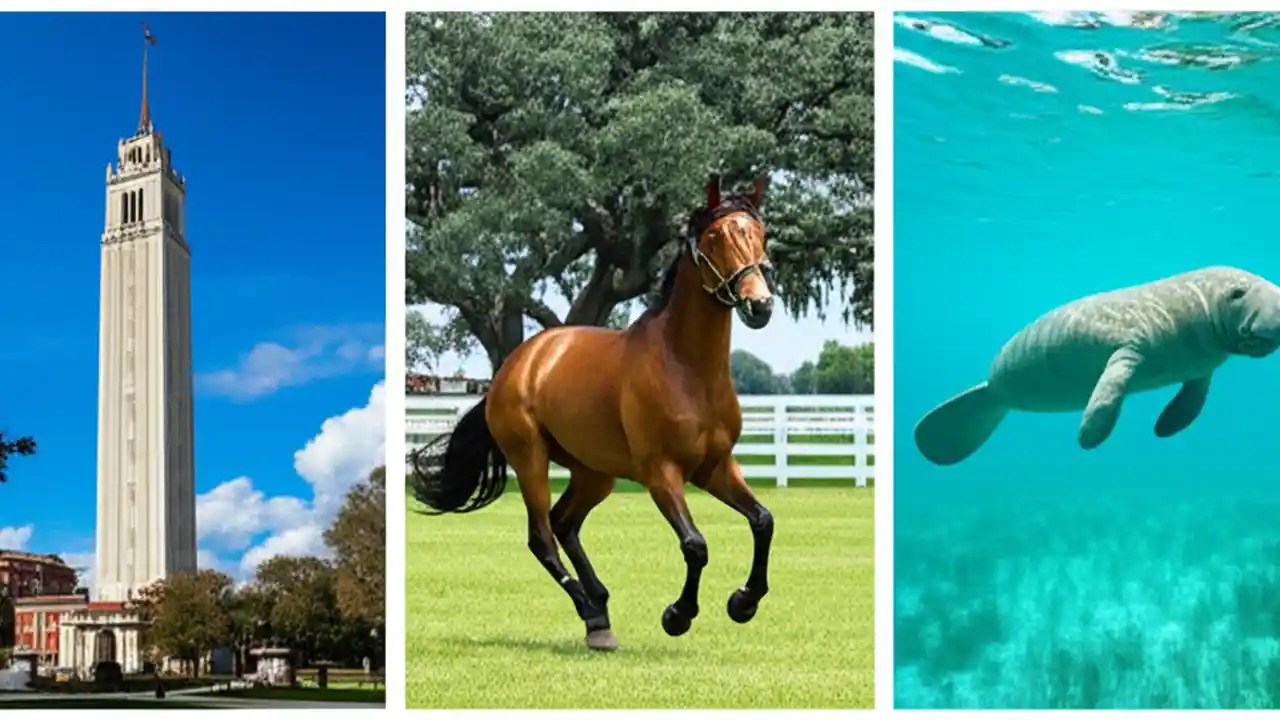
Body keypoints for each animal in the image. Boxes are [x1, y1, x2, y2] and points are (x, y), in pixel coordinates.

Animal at [413, 174, 777, 651]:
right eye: (714, 238)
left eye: (761, 234)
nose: (760, 304)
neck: (688, 370)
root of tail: (518, 363)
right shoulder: (661, 473)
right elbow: (695, 545)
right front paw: (678, 615)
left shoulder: (714, 467)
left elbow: (762, 521)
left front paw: (743, 602)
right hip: (530, 460)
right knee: (542, 537)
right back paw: (590, 611)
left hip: (594, 473)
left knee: (564, 523)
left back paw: (600, 613)